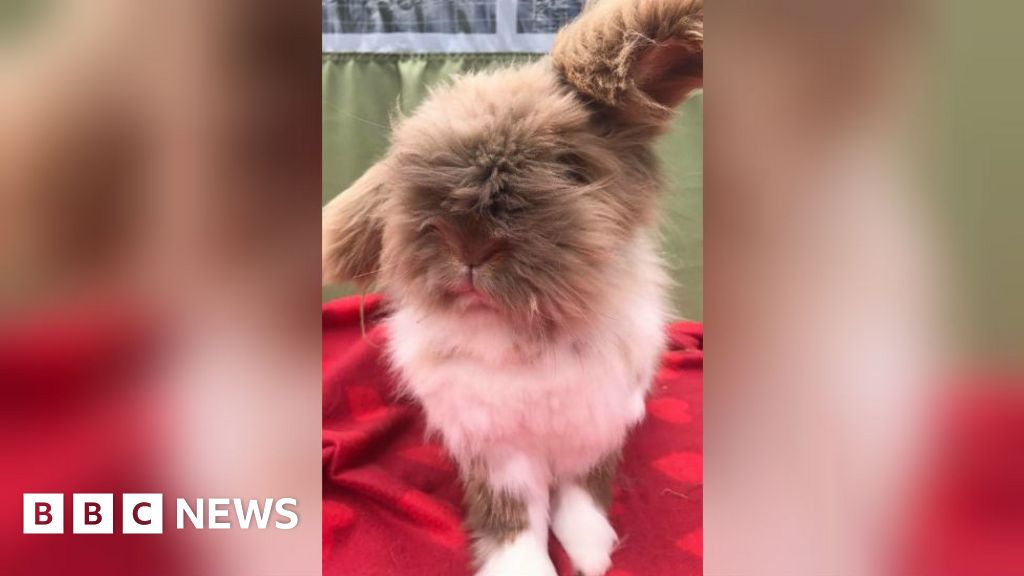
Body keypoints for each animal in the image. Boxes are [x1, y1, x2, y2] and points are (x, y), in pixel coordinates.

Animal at [322, 1, 702, 574]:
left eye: (571, 169)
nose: (469, 246)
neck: (526, 332)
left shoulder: (595, 427)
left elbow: (581, 494)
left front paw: (592, 552)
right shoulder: (496, 447)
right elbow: (515, 514)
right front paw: (522, 566)